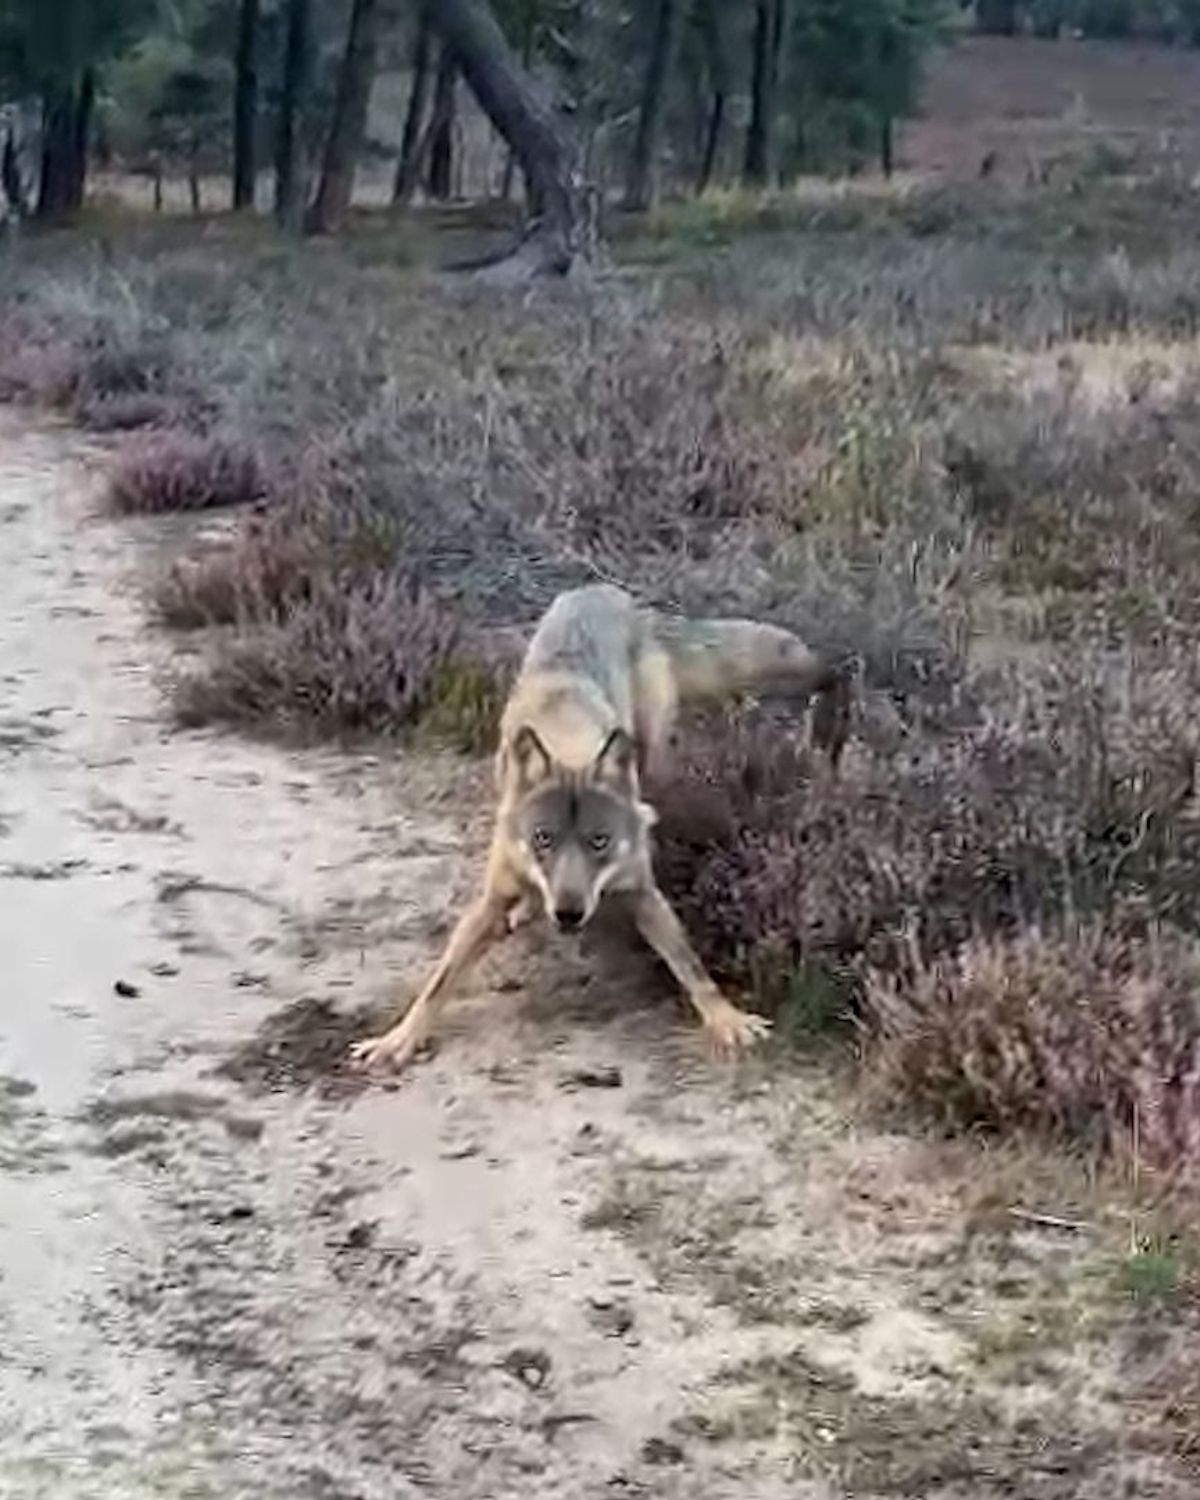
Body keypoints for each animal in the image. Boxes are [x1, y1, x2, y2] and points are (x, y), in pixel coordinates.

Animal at [352, 584, 848, 1073]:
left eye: (599, 842)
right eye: (543, 839)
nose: (569, 913)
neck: (567, 734)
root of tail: (611, 593)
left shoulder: (642, 892)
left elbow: (691, 967)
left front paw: (727, 1020)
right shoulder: (491, 900)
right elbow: (439, 983)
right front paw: (399, 1039)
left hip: (650, 749)